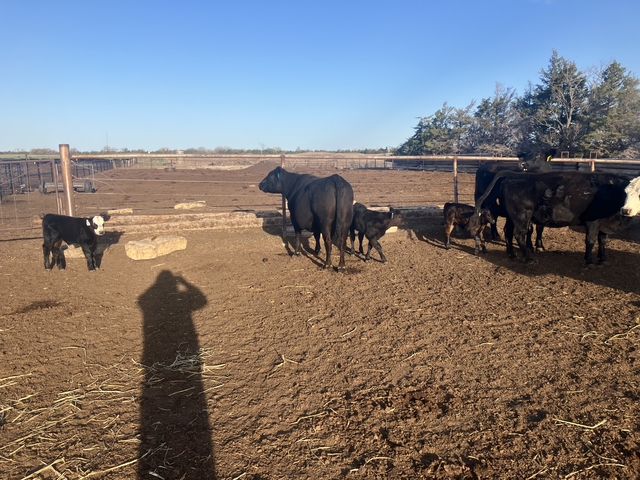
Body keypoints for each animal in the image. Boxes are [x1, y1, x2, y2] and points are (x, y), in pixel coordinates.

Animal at [473, 171, 636, 266]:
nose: (627, 210)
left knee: (508, 231)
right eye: (626, 192)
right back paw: (528, 258)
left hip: (512, 216)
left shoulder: (605, 223)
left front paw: (603, 259)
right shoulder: (593, 221)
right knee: (519, 234)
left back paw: (512, 254)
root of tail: (511, 176)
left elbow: (603, 241)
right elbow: (590, 241)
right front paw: (589, 261)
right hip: (522, 215)